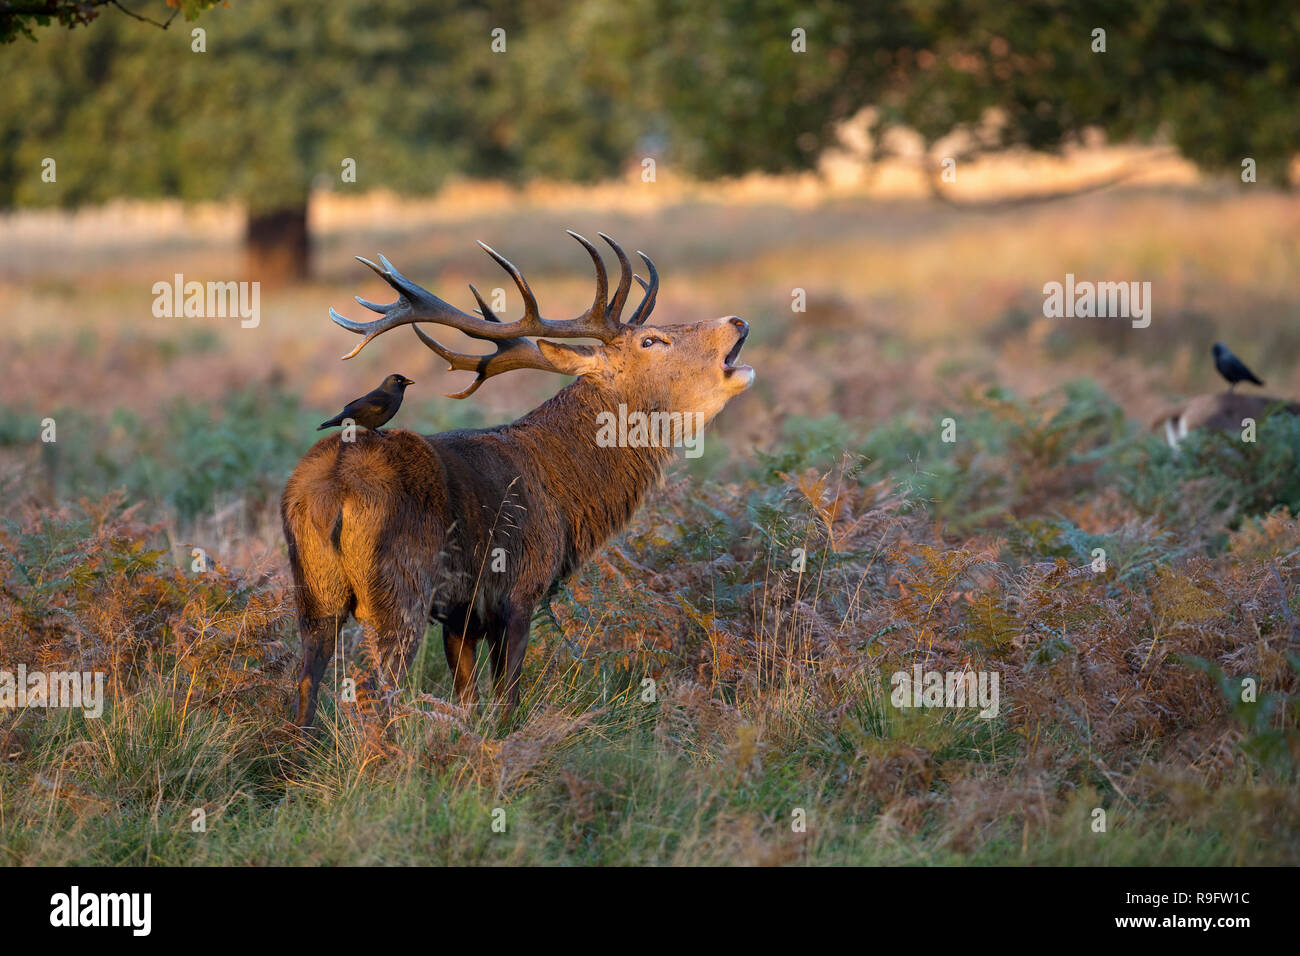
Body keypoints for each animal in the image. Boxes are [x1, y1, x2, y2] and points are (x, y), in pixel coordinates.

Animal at [281, 232, 754, 727]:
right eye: (651, 339)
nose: (737, 320)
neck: (562, 491)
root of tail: (332, 490)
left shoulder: (461, 614)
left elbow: (468, 697)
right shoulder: (520, 587)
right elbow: (508, 696)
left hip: (313, 591)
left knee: (307, 680)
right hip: (398, 587)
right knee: (377, 690)